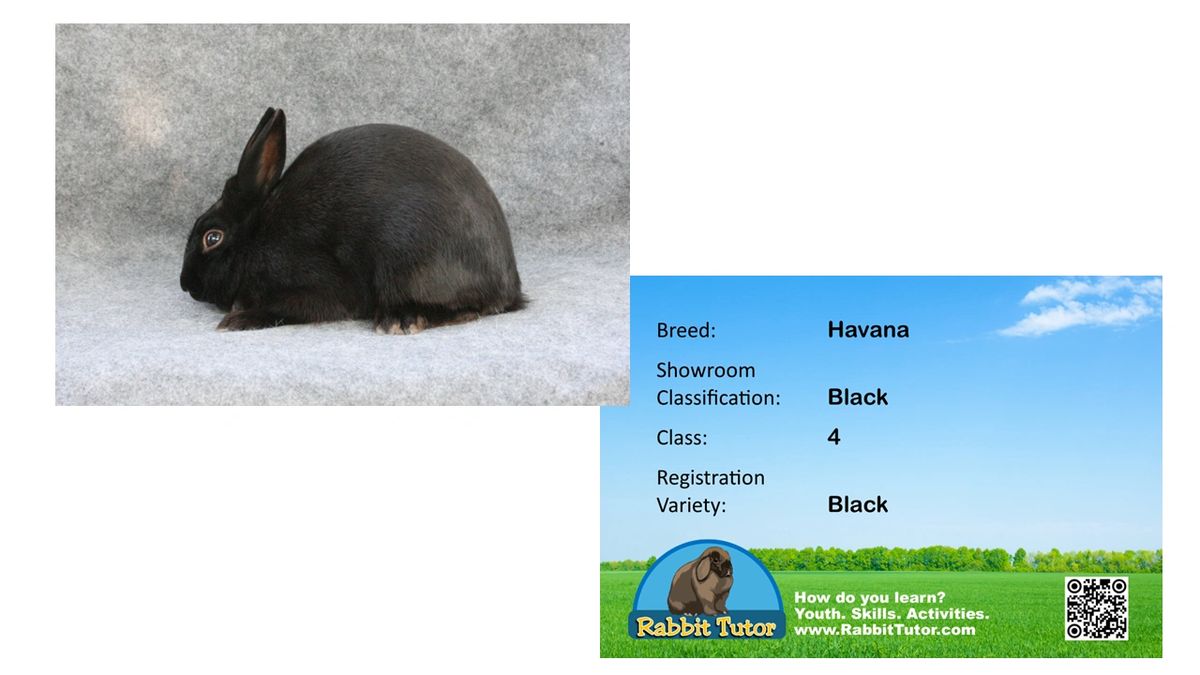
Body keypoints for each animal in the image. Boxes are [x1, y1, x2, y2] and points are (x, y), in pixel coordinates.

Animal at [179, 108, 525, 333]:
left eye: (212, 237)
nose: (186, 284)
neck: (258, 234)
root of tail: (509, 285)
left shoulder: (321, 285)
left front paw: (237, 319)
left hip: (404, 262)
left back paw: (401, 320)